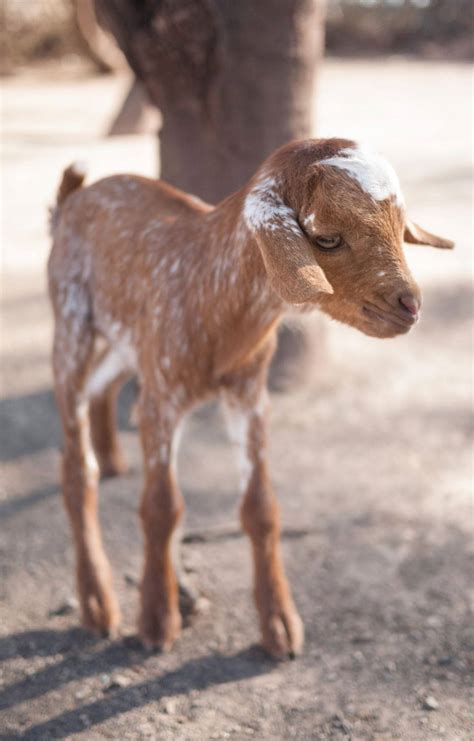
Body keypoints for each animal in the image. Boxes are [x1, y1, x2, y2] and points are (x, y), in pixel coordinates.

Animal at [48, 138, 453, 658]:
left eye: (401, 229)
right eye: (327, 239)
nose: (410, 306)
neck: (210, 289)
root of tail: (75, 197)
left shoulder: (250, 394)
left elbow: (261, 507)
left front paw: (280, 625)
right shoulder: (162, 397)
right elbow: (161, 507)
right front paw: (157, 621)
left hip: (125, 339)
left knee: (104, 386)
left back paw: (113, 458)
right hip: (70, 322)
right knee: (77, 469)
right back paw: (97, 603)